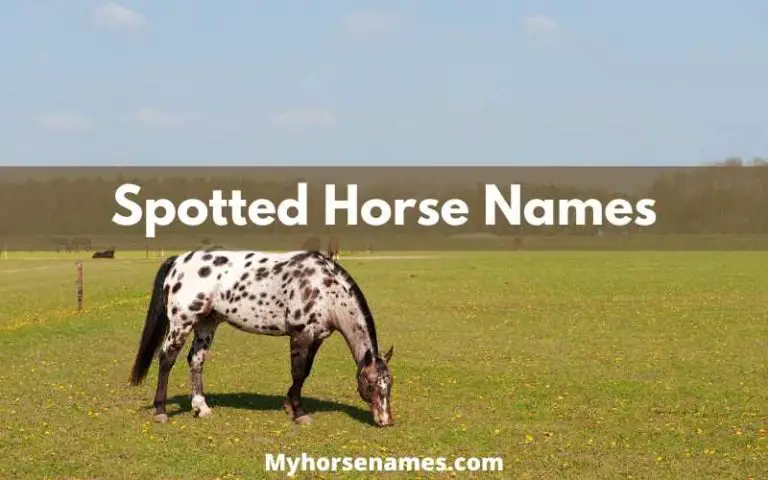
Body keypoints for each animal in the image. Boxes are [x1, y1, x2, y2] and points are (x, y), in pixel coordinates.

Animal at [128, 249, 395, 427]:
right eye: (370, 385)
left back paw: (201, 408)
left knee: (196, 361)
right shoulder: (301, 334)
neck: (325, 288)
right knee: (166, 358)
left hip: (206, 324)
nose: (386, 420)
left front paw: (289, 405)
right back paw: (161, 410)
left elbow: (304, 373)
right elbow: (298, 372)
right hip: (181, 323)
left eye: (389, 384)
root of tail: (178, 261)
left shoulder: (317, 337)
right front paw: (299, 413)